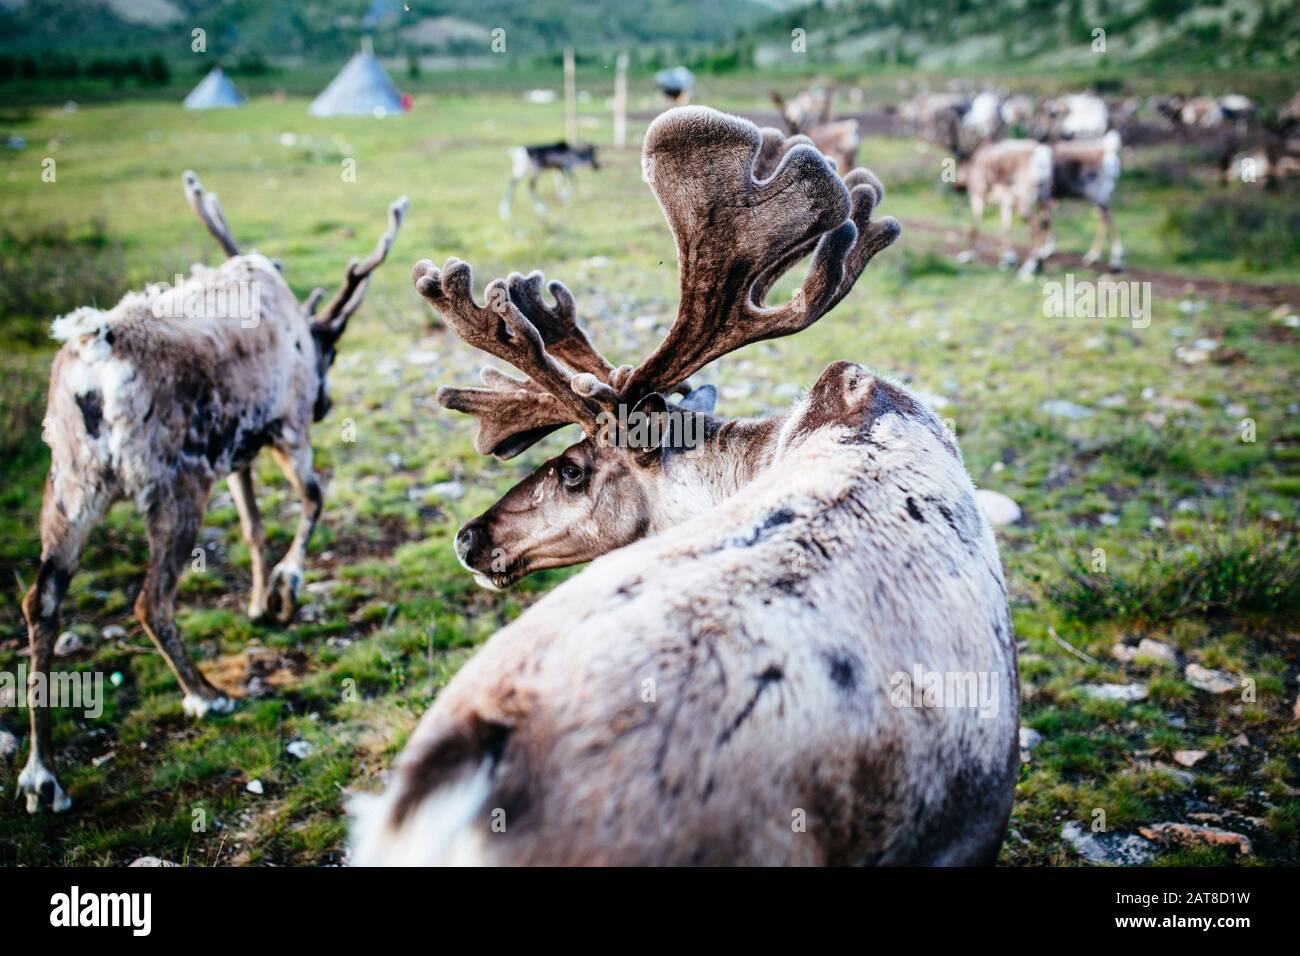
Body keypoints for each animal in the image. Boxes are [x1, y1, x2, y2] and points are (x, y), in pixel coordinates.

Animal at [16, 172, 407, 813]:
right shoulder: (286, 429)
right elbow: (313, 499)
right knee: (151, 600)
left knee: (41, 600)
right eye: (330, 351)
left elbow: (252, 525)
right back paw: (207, 694)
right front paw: (285, 588)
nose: (326, 404)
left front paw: (259, 600)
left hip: (73, 481)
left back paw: (42, 775)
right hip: (175, 487)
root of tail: (95, 350)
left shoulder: (235, 457)